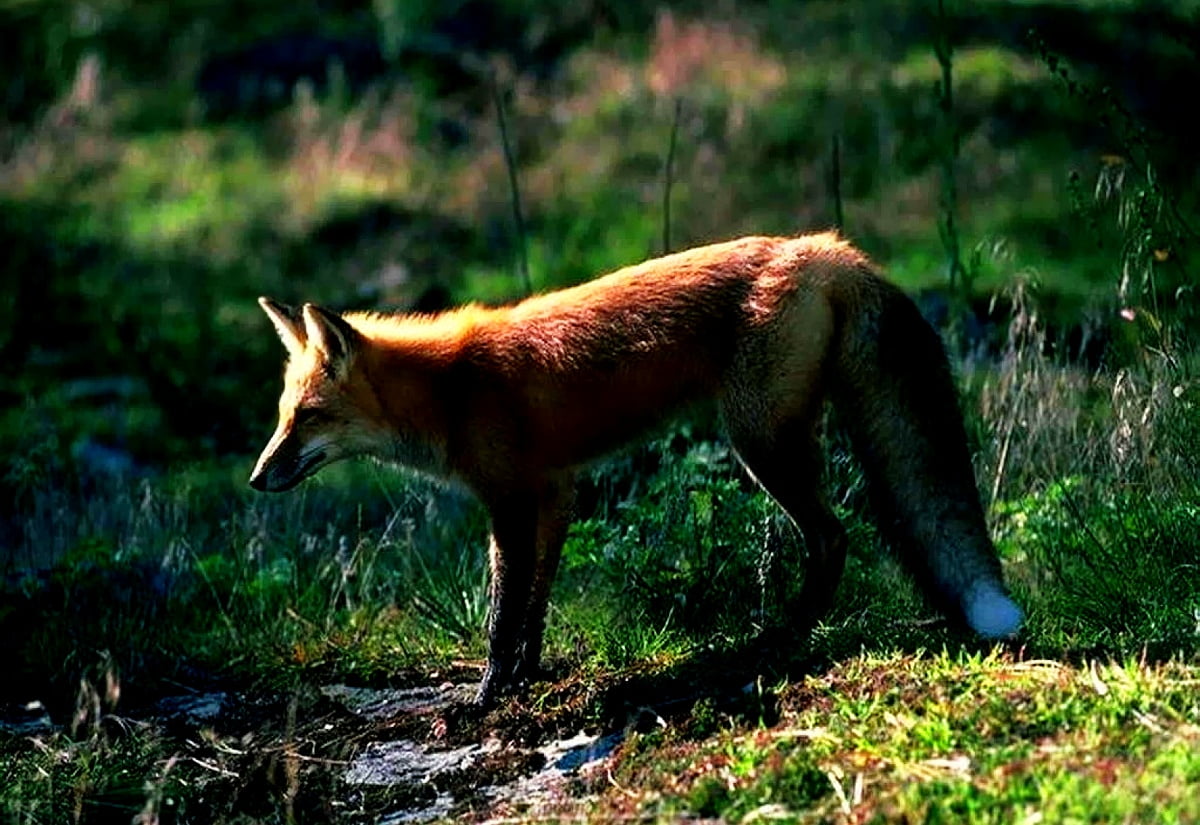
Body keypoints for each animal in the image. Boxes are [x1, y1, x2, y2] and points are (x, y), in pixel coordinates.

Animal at [249, 233, 1023, 705]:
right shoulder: (556, 490)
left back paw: (782, 637)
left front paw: (488, 696)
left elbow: (503, 611)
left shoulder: (508, 499)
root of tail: (825, 248)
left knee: (832, 537)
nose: (257, 478)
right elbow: (536, 604)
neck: (450, 390)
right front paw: (530, 676)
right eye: (282, 415)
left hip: (760, 442)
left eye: (308, 418)